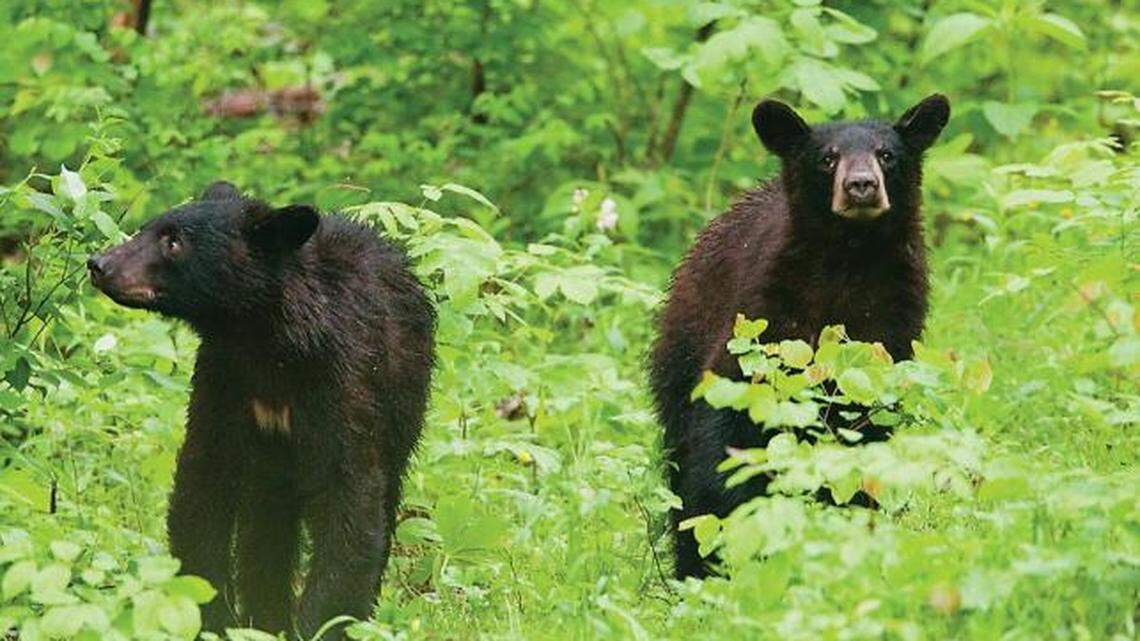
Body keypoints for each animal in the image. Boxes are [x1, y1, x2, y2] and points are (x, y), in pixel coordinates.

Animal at [87, 182, 435, 639]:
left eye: (174, 241)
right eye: (149, 227)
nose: (99, 264)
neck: (268, 344)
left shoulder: (344, 384)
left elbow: (350, 501)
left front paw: (319, 623)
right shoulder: (223, 381)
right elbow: (203, 486)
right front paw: (214, 617)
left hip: (404, 408)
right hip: (273, 469)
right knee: (265, 528)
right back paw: (264, 616)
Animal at [649, 95, 950, 579]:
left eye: (887, 154)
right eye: (828, 158)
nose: (862, 185)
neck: (849, 260)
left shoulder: (890, 326)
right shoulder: (765, 318)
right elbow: (726, 421)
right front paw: (719, 544)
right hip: (680, 349)